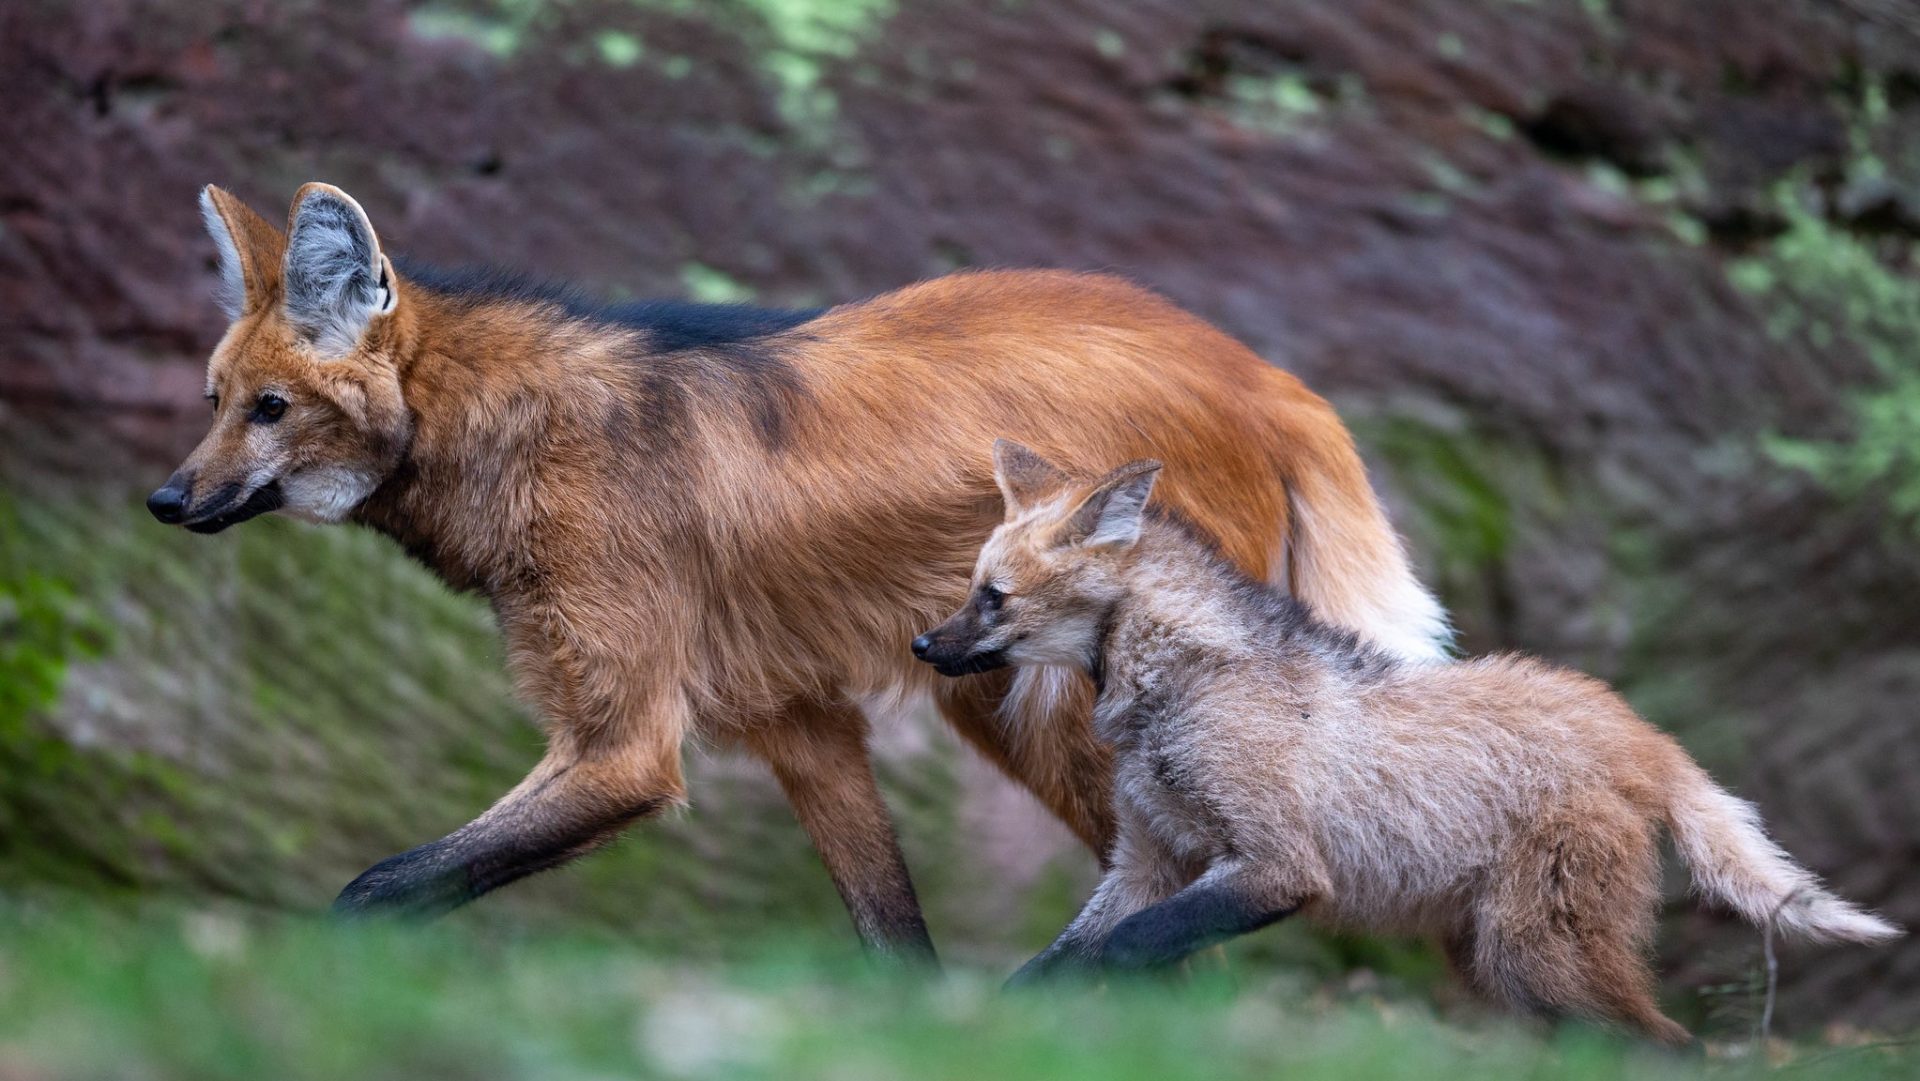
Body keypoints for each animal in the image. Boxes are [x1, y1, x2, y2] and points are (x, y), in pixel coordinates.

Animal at [150, 182, 1449, 956]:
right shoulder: (798, 721)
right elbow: (892, 942)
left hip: (1075, 710)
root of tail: (1267, 378)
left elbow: (375, 887)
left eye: (272, 409)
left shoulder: (624, 746)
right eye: (215, 402)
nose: (166, 499)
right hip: (990, 686)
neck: (509, 433)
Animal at [914, 440, 1899, 1040]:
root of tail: (1634, 729)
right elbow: (1053, 963)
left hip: (1536, 957)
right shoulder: (1148, 861)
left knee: (1670, 1043)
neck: (1181, 686)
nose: (923, 645)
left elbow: (1127, 948)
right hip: (1500, 965)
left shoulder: (1277, 867)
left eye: (992, 597)